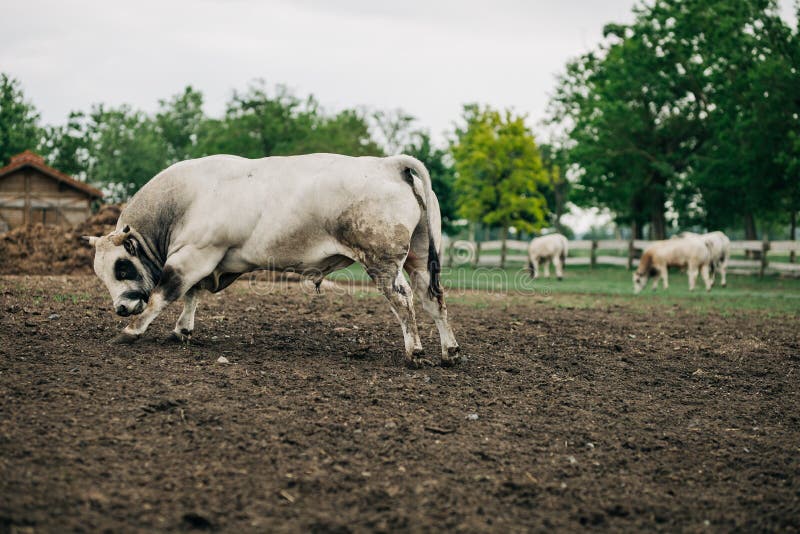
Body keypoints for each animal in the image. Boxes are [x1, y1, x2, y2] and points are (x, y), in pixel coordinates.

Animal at [84, 154, 461, 368]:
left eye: (122, 266)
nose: (121, 308)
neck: (183, 200)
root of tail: (388, 163)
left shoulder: (195, 254)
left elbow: (164, 295)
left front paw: (130, 332)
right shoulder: (204, 260)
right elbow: (192, 295)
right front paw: (182, 331)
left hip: (381, 262)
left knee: (403, 301)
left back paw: (415, 353)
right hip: (418, 259)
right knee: (433, 299)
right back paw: (450, 352)